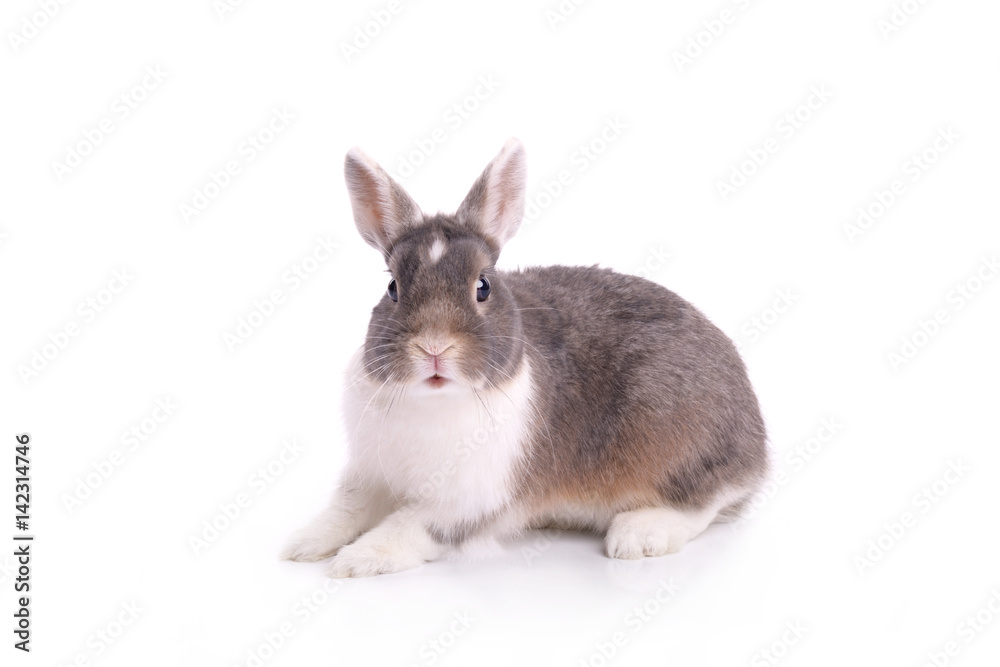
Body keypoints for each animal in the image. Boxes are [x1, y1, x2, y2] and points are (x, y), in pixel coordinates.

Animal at [282, 138, 769, 577]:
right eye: (392, 288)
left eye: (483, 286)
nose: (434, 347)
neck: (433, 402)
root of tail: (758, 446)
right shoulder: (369, 477)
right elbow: (345, 510)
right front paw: (302, 545)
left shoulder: (464, 501)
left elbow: (409, 526)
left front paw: (358, 560)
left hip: (674, 447)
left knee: (705, 502)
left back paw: (640, 533)